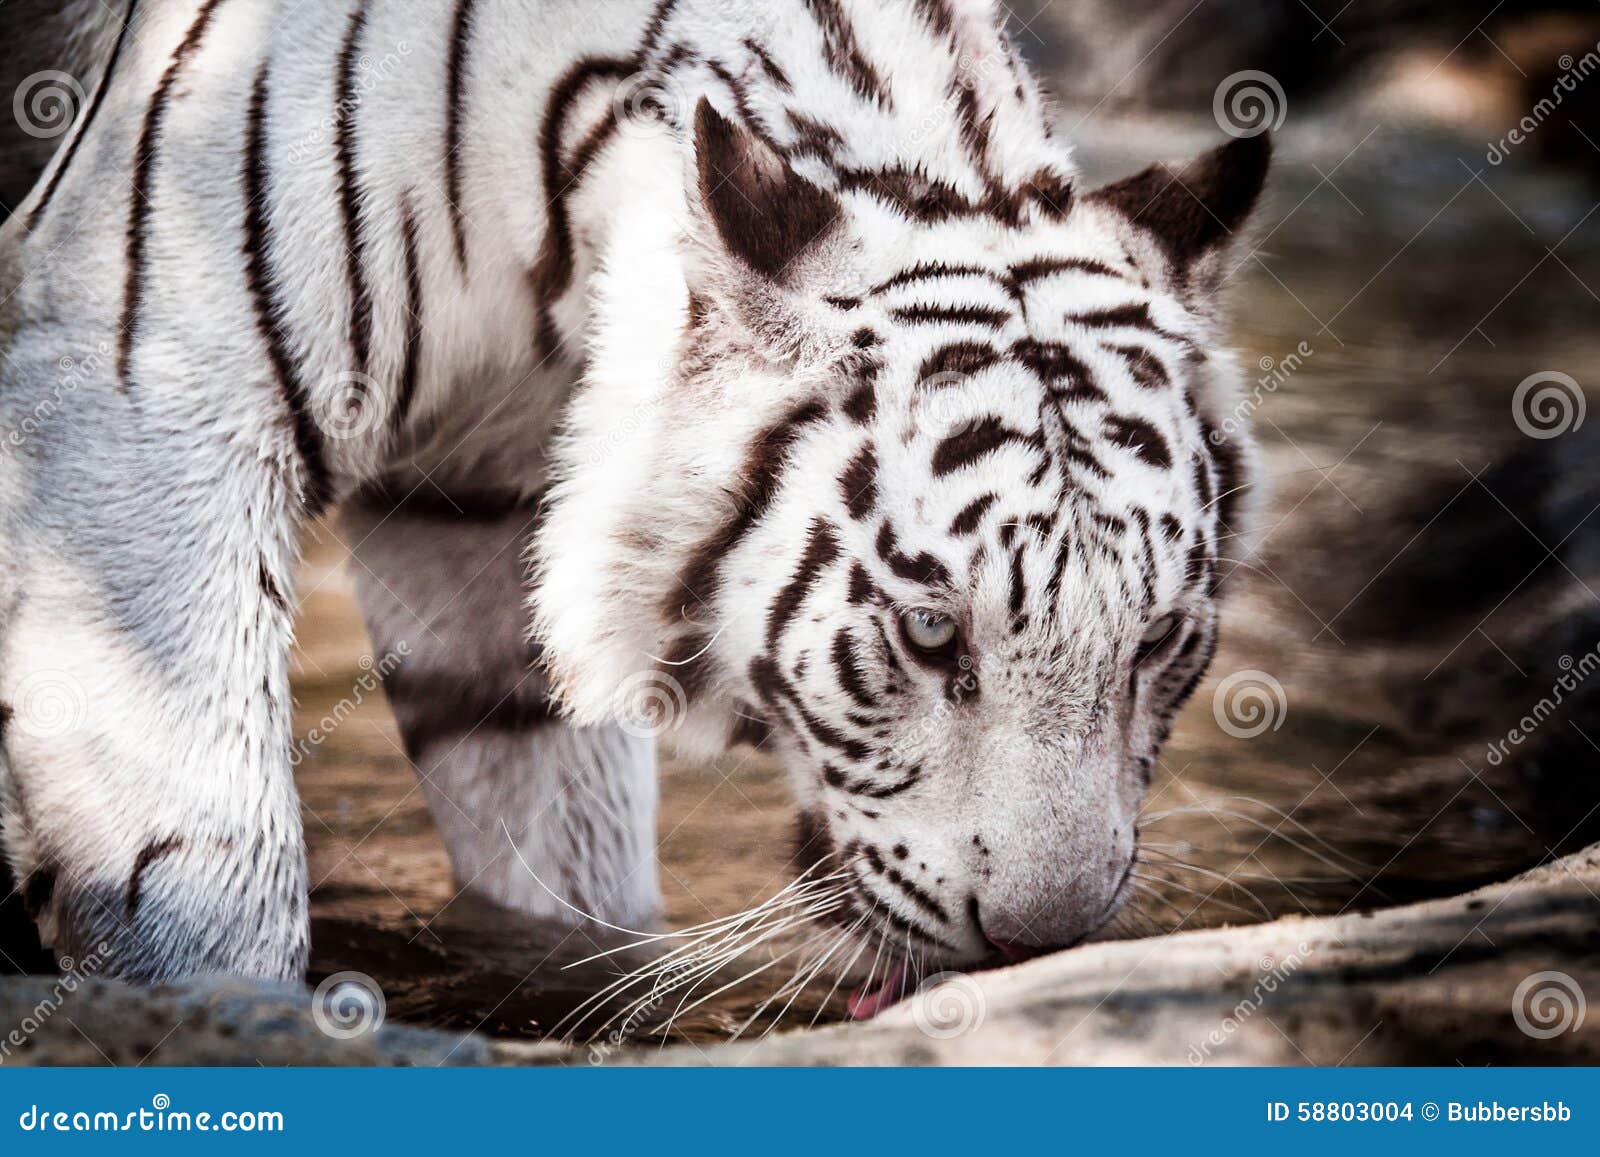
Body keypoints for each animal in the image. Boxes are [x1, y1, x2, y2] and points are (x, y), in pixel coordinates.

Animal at [0, 0, 1267, 1010]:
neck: (558, 270)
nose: (1037, 949)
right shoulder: (152, 399)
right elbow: (204, 877)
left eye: (1158, 638)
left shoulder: (482, 510)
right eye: (927, 631)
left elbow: (562, 853)